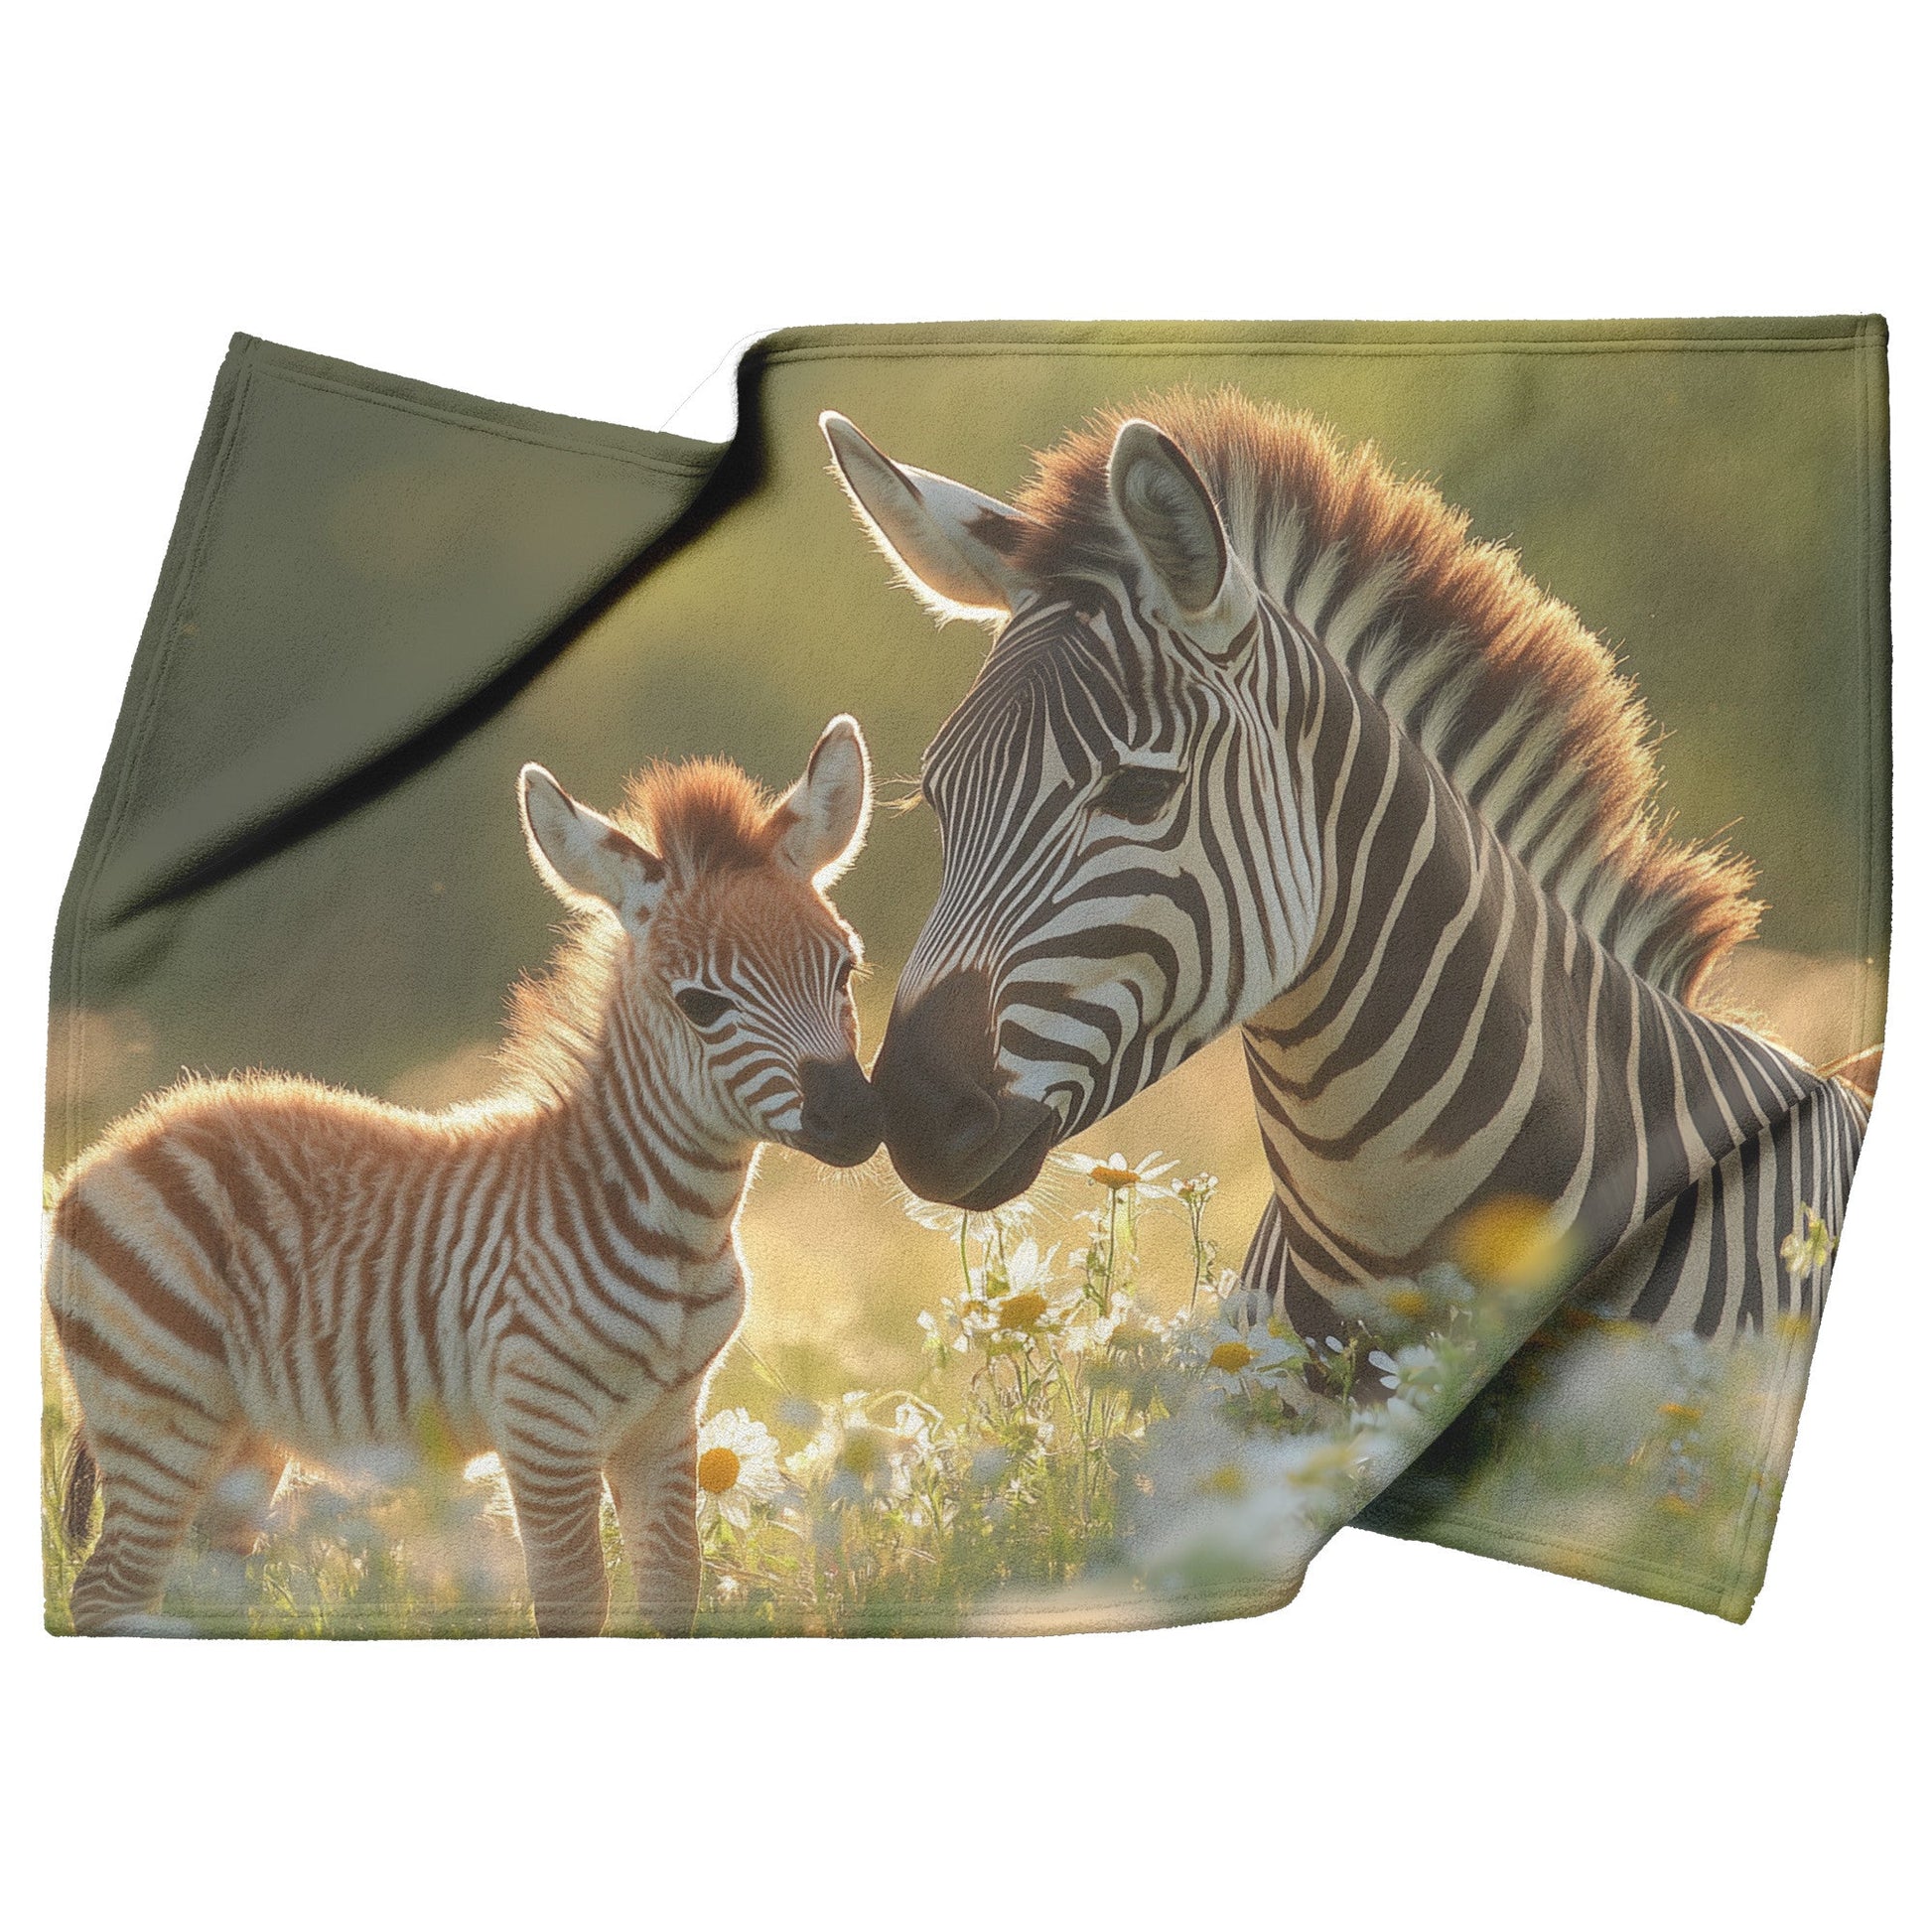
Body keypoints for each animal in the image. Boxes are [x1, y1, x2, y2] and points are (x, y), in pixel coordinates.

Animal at [46, 718, 879, 1636]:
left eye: (844, 968)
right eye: (701, 1005)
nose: (858, 1121)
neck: (682, 1229)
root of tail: (112, 1146)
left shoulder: (664, 1425)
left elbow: (673, 1593)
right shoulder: (544, 1423)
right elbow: (572, 1600)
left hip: (240, 1435)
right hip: (160, 1406)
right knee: (108, 1590)